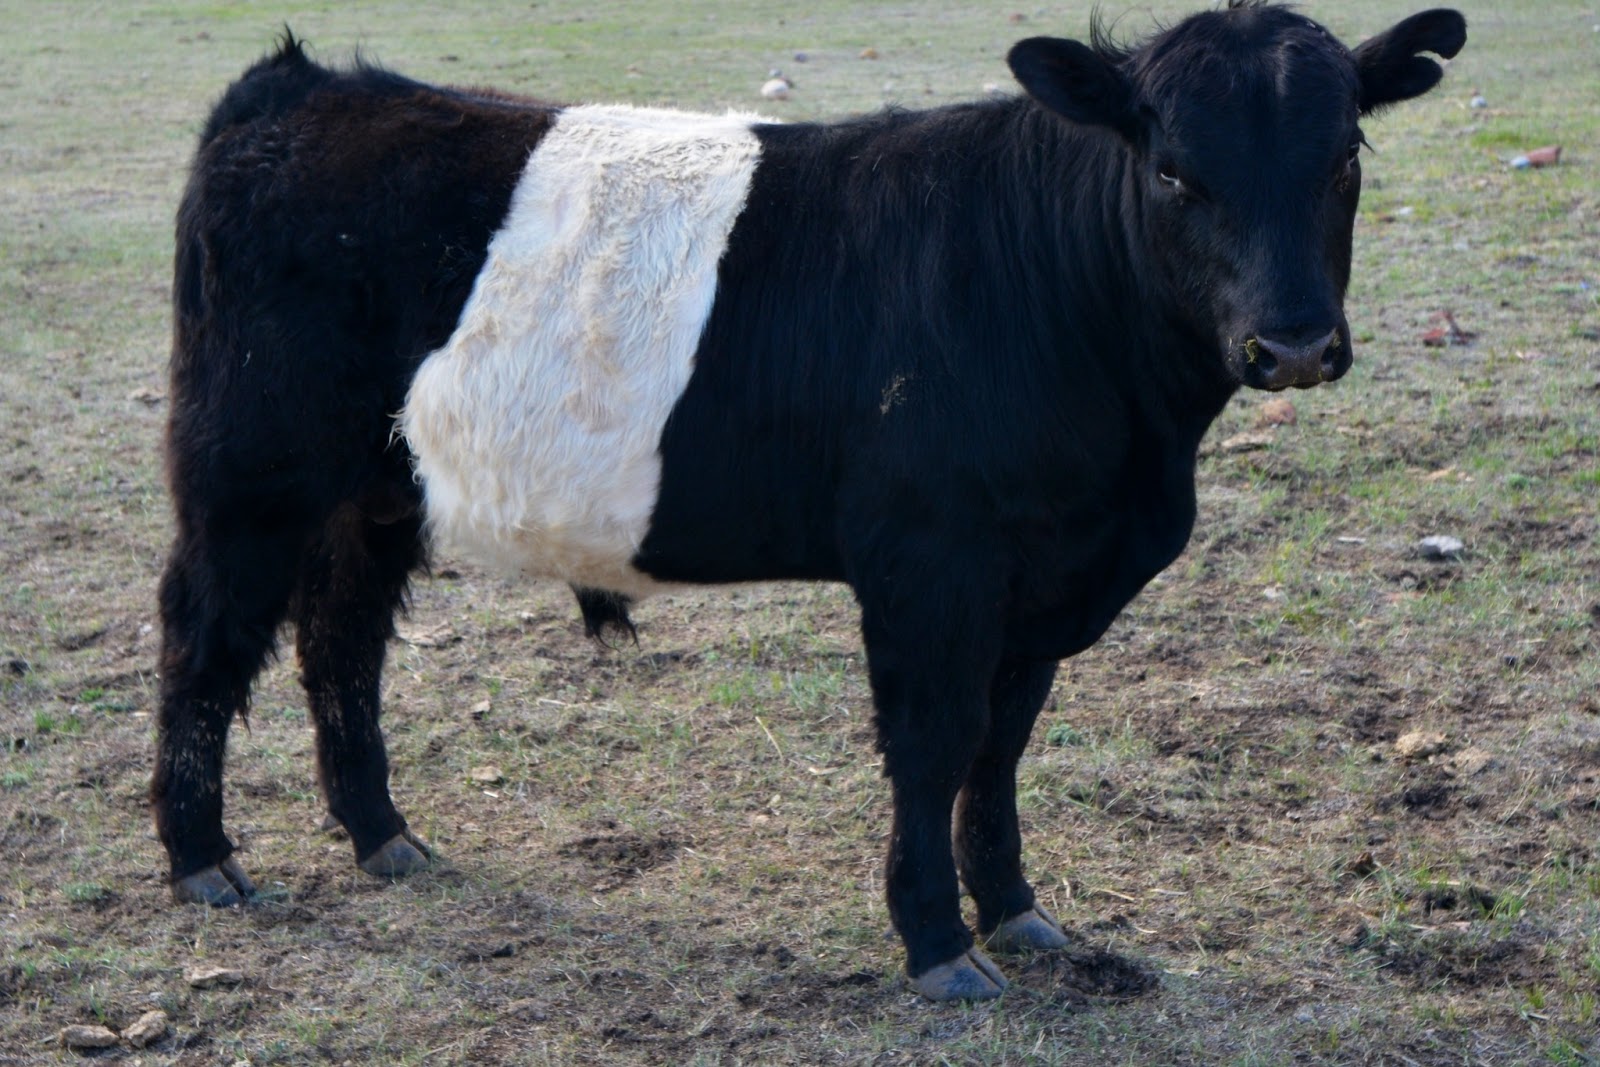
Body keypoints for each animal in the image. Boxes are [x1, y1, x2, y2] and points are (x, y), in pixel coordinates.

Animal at [154, 2, 1466, 1000]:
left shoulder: (1042, 578)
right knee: (205, 637)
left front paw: (1016, 909)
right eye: (1172, 169)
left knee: (340, 642)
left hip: (374, 490)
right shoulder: (930, 564)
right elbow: (933, 743)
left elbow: (1001, 743)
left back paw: (385, 835)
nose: (1291, 343)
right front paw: (938, 945)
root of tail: (299, 91)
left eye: (1345, 159)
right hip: (247, 472)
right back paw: (203, 858)